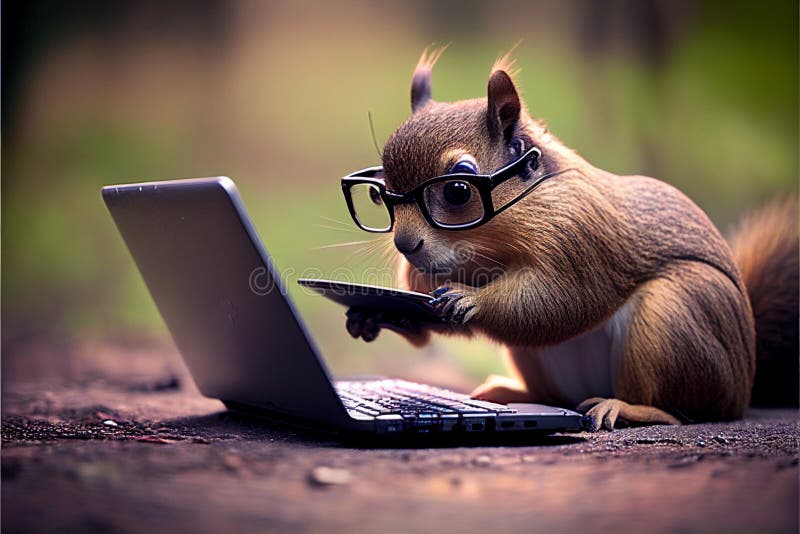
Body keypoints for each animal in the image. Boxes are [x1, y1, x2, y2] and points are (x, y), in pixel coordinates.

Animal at [344, 48, 799, 431]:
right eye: (377, 195)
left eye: (457, 191)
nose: (406, 247)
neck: (492, 239)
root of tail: (743, 387)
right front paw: (376, 313)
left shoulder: (581, 234)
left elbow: (560, 299)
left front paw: (472, 300)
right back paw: (507, 392)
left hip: (674, 315)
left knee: (681, 410)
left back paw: (623, 407)